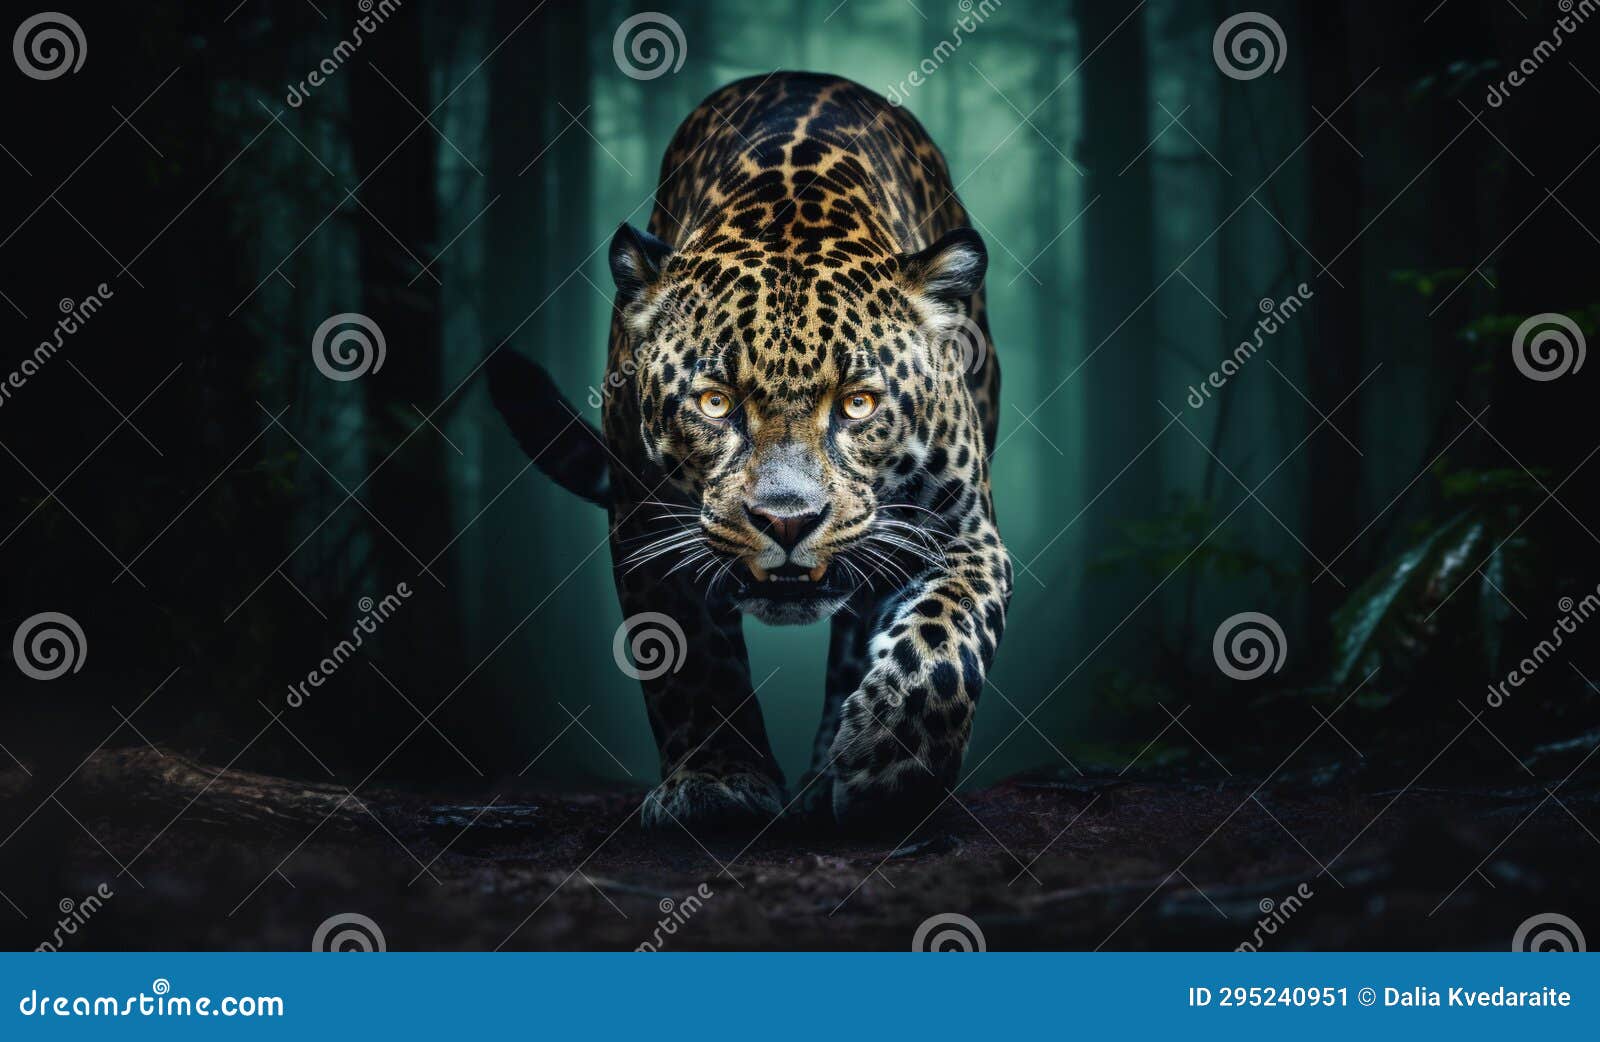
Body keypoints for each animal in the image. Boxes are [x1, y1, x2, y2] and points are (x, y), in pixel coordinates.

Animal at [489, 71, 1011, 831]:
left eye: (858, 403)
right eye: (715, 402)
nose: (787, 522)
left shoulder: (961, 532)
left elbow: (942, 642)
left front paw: (893, 767)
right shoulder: (646, 531)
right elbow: (692, 664)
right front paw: (717, 783)